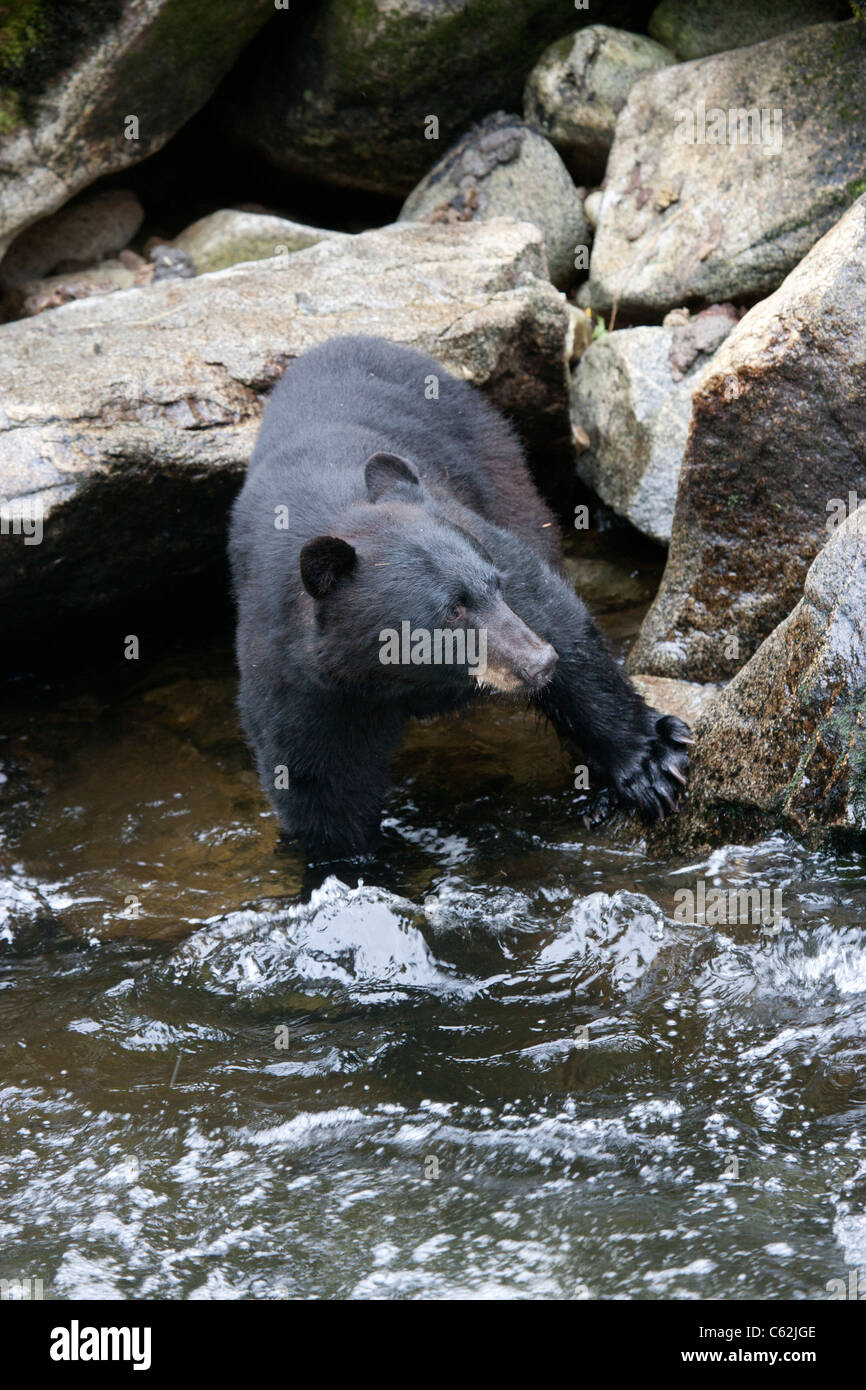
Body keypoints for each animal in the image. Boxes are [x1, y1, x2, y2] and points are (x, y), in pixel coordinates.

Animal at [228, 334, 690, 860]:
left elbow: (561, 622)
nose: (539, 662)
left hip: (501, 472)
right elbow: (319, 784)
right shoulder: (299, 673)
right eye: (450, 611)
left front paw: (650, 763)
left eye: (494, 586)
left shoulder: (484, 538)